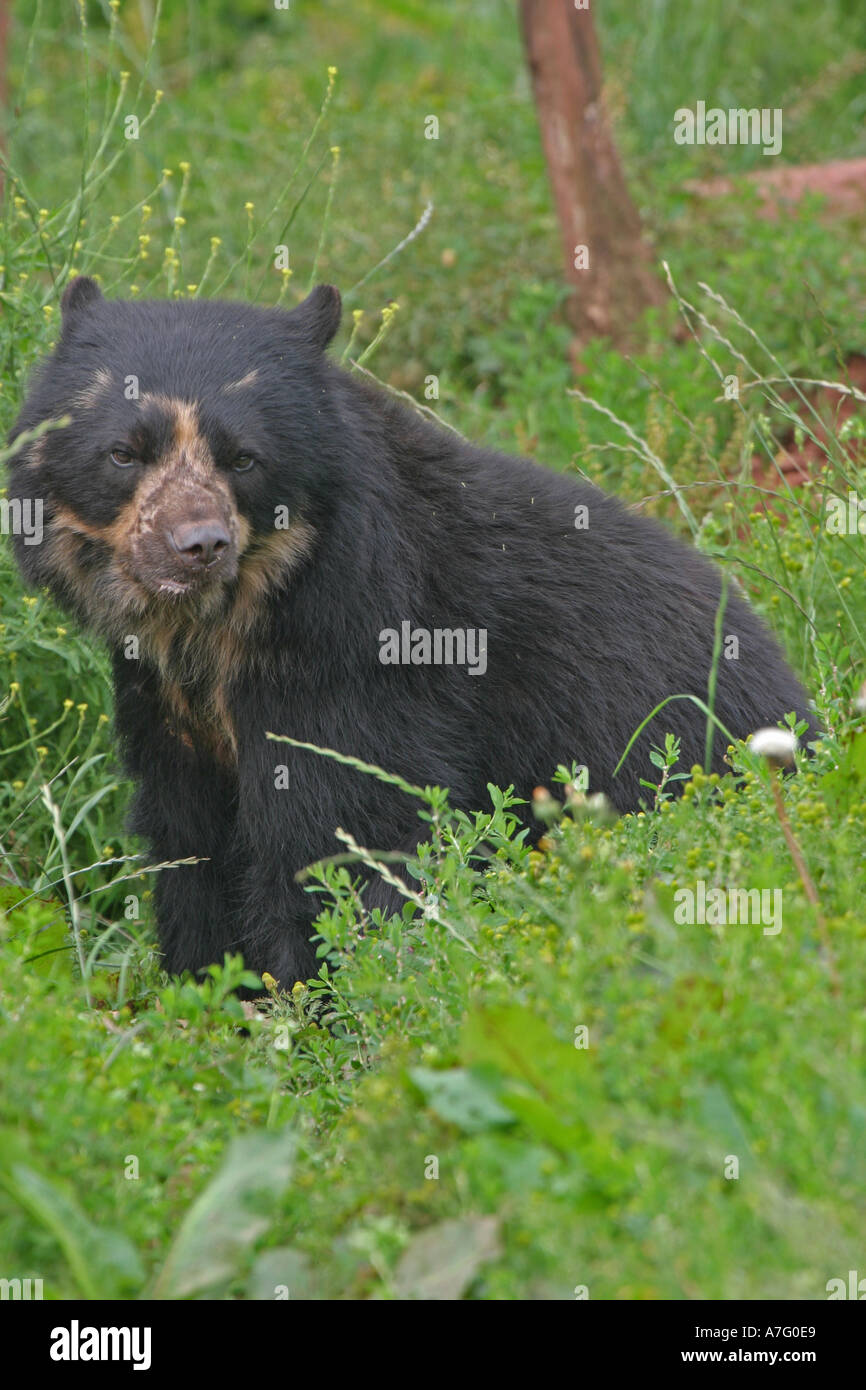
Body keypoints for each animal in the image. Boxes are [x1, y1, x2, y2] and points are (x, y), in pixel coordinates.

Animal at [7, 275, 817, 988]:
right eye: (124, 452)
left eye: (243, 458)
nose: (197, 545)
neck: (224, 624)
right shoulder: (166, 704)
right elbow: (187, 846)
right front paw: (209, 1002)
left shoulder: (360, 665)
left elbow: (344, 834)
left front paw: (317, 1010)